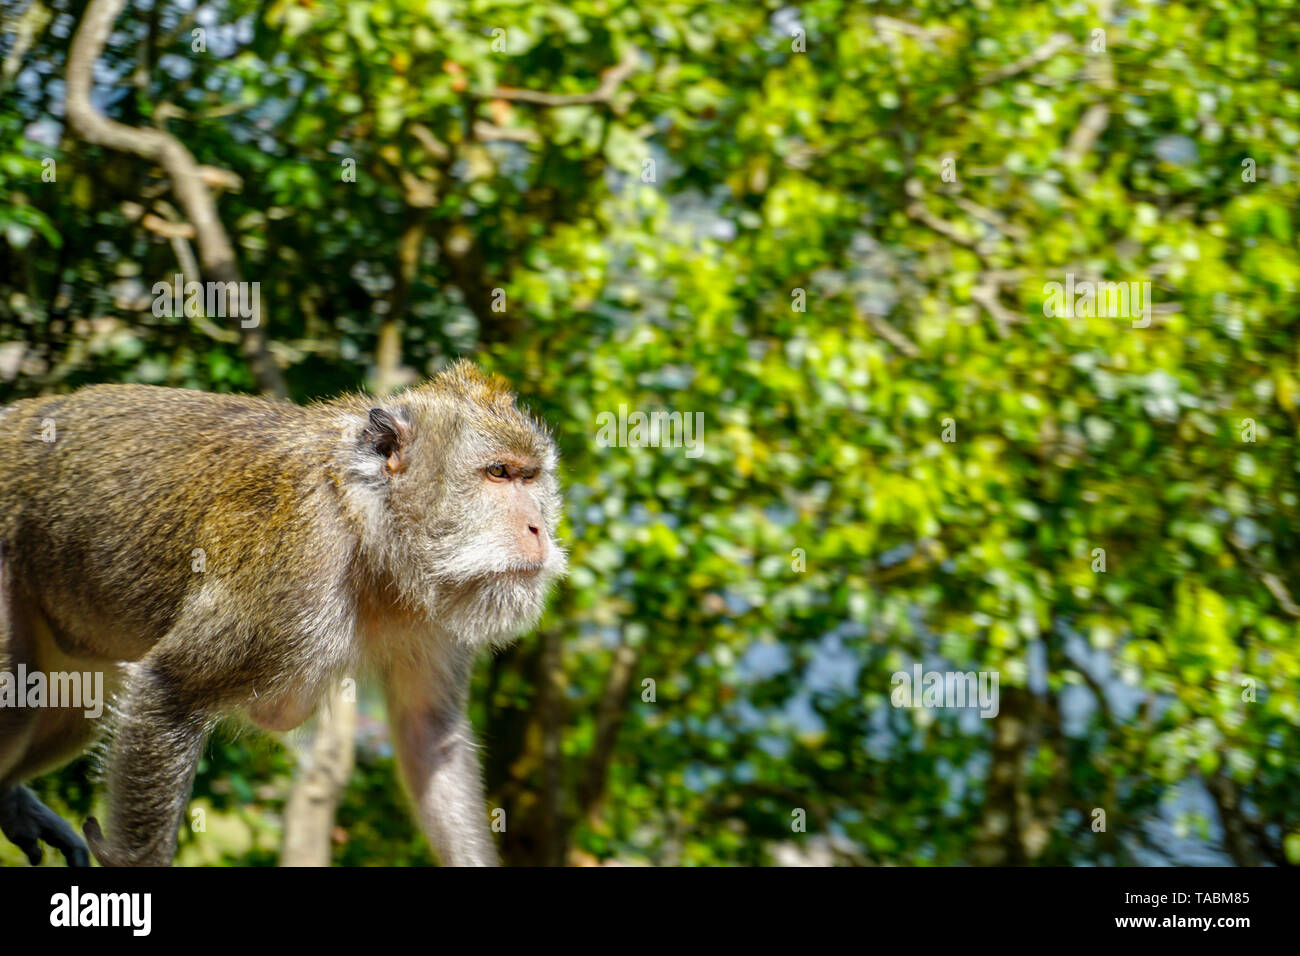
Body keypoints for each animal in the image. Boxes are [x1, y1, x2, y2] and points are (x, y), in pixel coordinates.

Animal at [0, 360, 566, 866]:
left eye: (531, 478)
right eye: (498, 473)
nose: (538, 528)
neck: (367, 523)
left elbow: (428, 736)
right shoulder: (295, 564)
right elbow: (168, 690)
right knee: (18, 702)